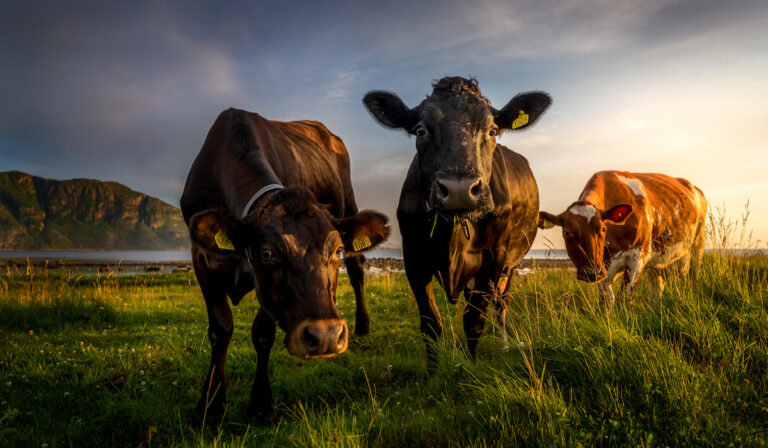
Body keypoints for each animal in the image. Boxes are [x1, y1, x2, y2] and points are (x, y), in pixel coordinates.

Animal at [180, 108, 390, 424]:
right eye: (267, 253)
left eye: (337, 250)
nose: (326, 336)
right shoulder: (202, 258)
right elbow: (220, 329)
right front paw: (210, 406)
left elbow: (262, 333)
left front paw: (261, 405)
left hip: (349, 201)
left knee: (356, 270)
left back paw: (362, 325)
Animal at [362, 76, 552, 365]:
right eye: (420, 131)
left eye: (492, 131)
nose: (460, 190)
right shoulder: (413, 256)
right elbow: (431, 323)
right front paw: (432, 371)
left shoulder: (495, 255)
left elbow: (474, 320)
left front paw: (471, 369)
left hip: (511, 265)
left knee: (501, 302)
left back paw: (504, 343)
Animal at [538, 171, 707, 305]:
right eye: (566, 232)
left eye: (603, 229)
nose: (591, 273)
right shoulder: (604, 270)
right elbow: (608, 300)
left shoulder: (638, 257)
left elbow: (623, 299)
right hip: (658, 260)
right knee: (657, 288)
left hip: (697, 244)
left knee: (693, 276)